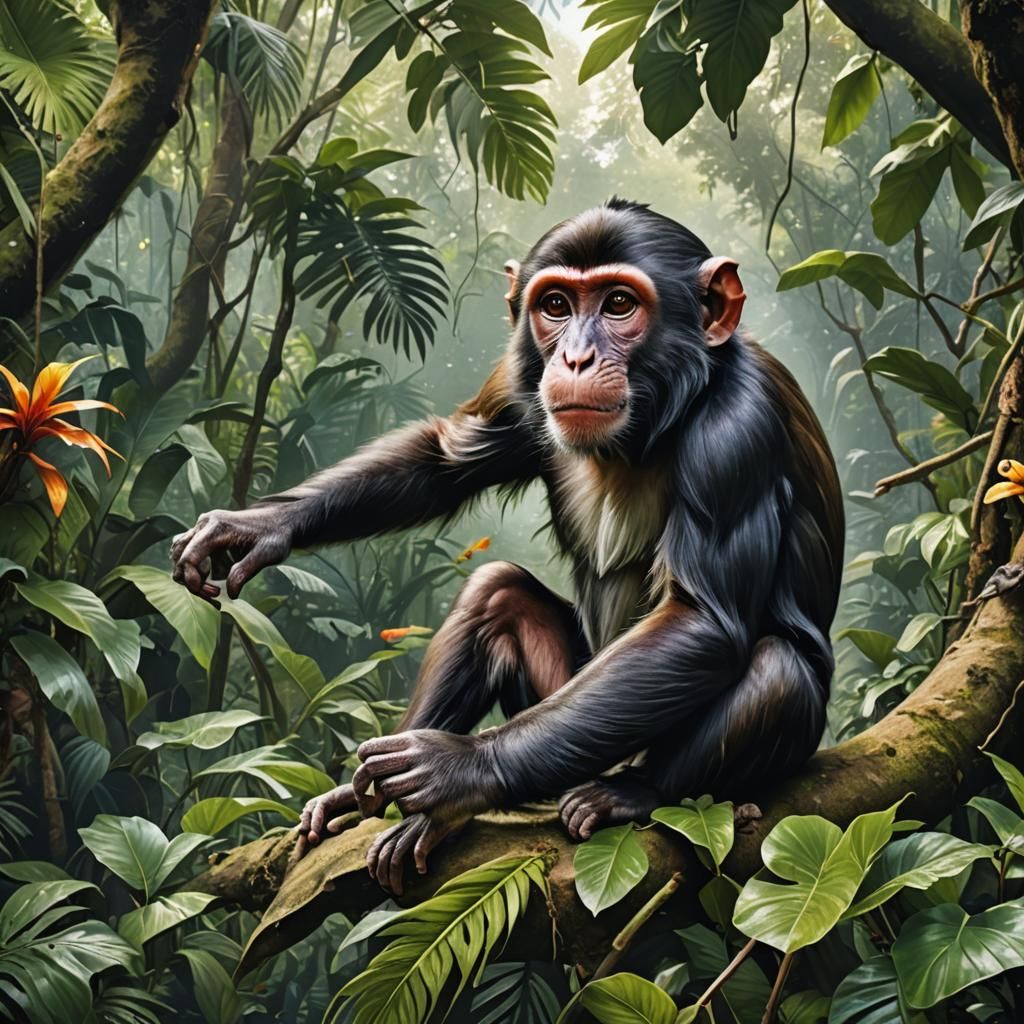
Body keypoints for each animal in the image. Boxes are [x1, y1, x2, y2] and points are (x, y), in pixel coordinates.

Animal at [170, 199, 844, 895]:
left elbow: (701, 617)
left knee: (777, 671)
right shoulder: (520, 382)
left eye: (619, 304)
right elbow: (446, 459)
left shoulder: (737, 431)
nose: (574, 358)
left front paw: (460, 769)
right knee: (495, 593)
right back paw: (372, 802)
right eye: (555, 306)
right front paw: (256, 525)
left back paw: (624, 792)